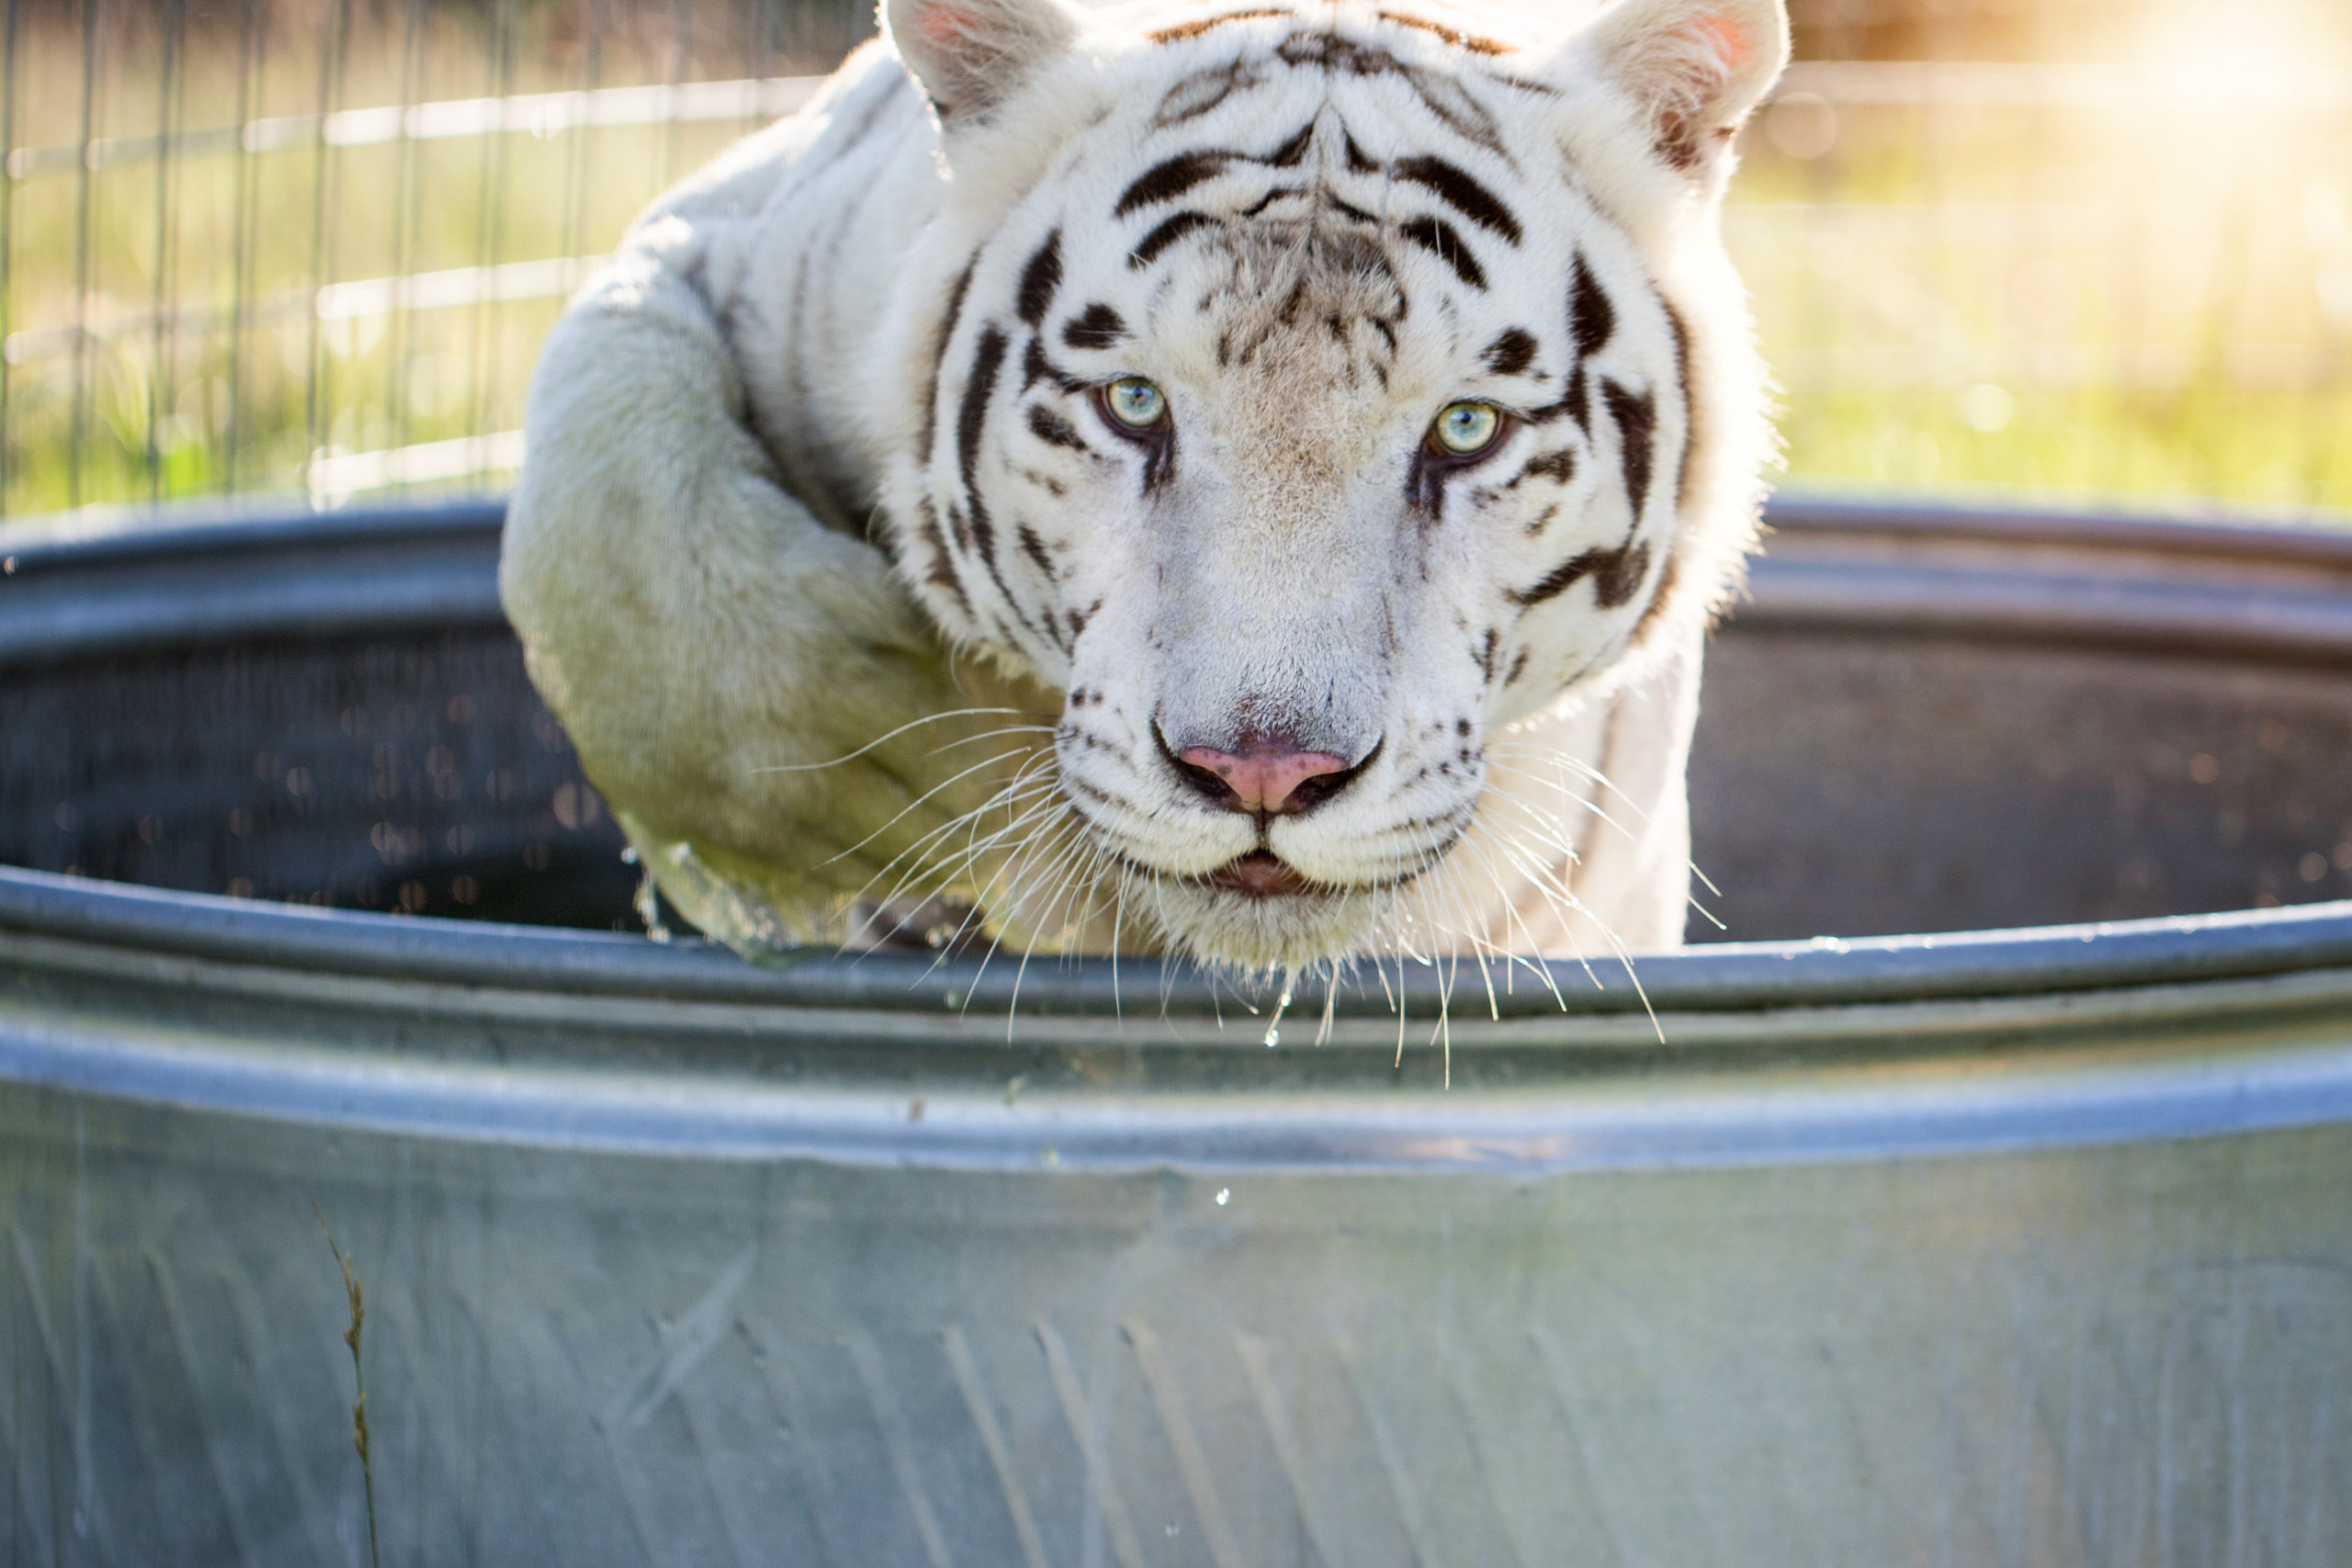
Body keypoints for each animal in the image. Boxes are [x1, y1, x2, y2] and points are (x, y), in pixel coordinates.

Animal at [499, 0, 1787, 978]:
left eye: (1465, 428)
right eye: (1133, 404)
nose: (1263, 772)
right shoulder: (716, 240)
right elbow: (606, 531)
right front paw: (880, 774)